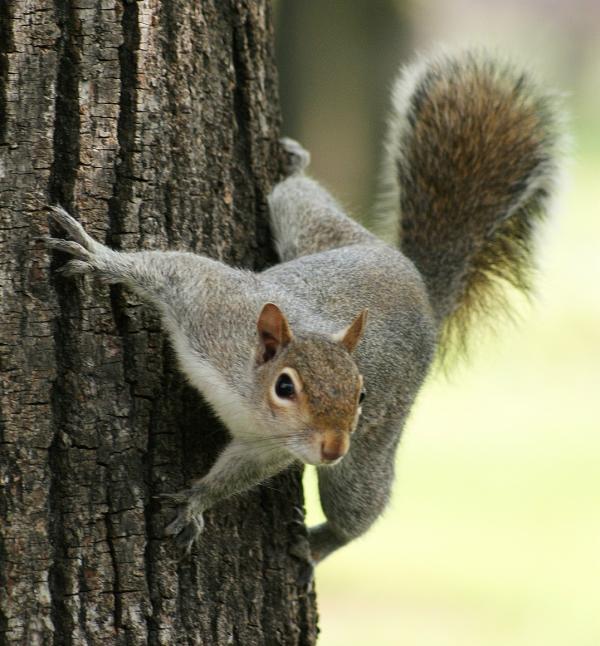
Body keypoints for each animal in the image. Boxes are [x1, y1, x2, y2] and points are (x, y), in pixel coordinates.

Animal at [44, 49, 562, 565]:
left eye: (362, 395)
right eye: (286, 387)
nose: (333, 448)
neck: (249, 398)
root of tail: (418, 288)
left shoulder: (270, 447)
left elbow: (240, 473)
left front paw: (197, 501)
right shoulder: (211, 305)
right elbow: (169, 269)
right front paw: (100, 257)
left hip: (368, 454)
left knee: (357, 512)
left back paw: (316, 545)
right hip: (317, 229)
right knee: (296, 194)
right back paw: (294, 165)